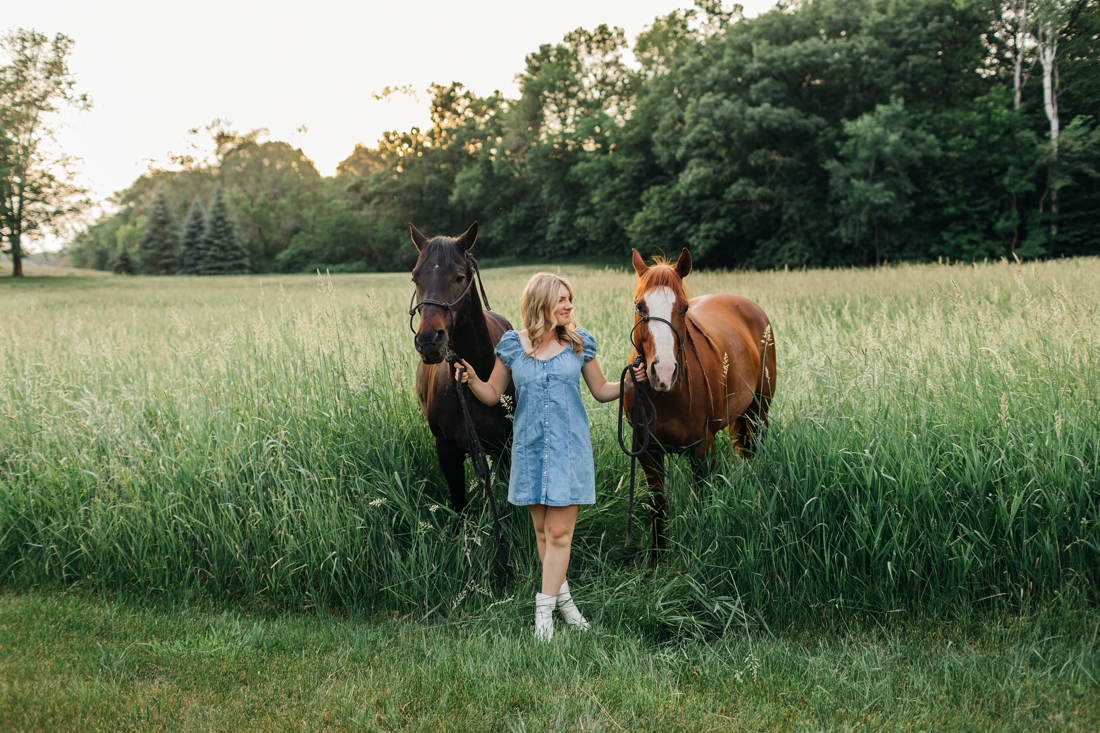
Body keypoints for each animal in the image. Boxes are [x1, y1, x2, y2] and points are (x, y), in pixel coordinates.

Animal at [409, 222, 515, 512]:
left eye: (458, 277)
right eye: (415, 278)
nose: (429, 341)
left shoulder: (506, 444)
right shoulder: (446, 450)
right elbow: (458, 501)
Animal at [623, 247, 777, 561]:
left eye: (684, 308)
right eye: (640, 306)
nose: (663, 373)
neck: (667, 398)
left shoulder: (701, 449)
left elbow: (700, 499)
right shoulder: (647, 451)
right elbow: (658, 504)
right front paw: (657, 558)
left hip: (759, 412)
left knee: (754, 453)